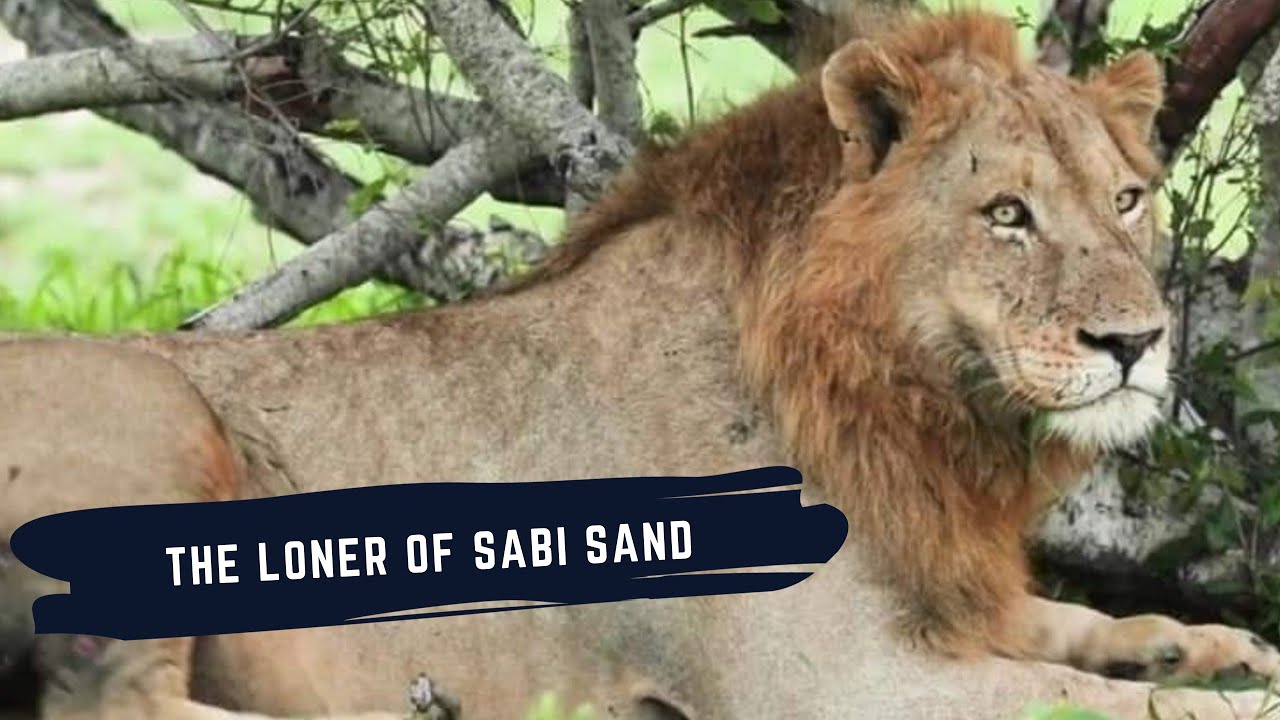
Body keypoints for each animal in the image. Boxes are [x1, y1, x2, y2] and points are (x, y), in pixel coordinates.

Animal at [1, 10, 1278, 720]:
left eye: (1125, 201)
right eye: (1005, 213)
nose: (1136, 343)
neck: (907, 412)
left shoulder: (940, 598)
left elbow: (1072, 630)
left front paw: (1208, 644)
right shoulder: (840, 688)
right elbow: (1116, 706)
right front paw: (1225, 682)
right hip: (148, 410)